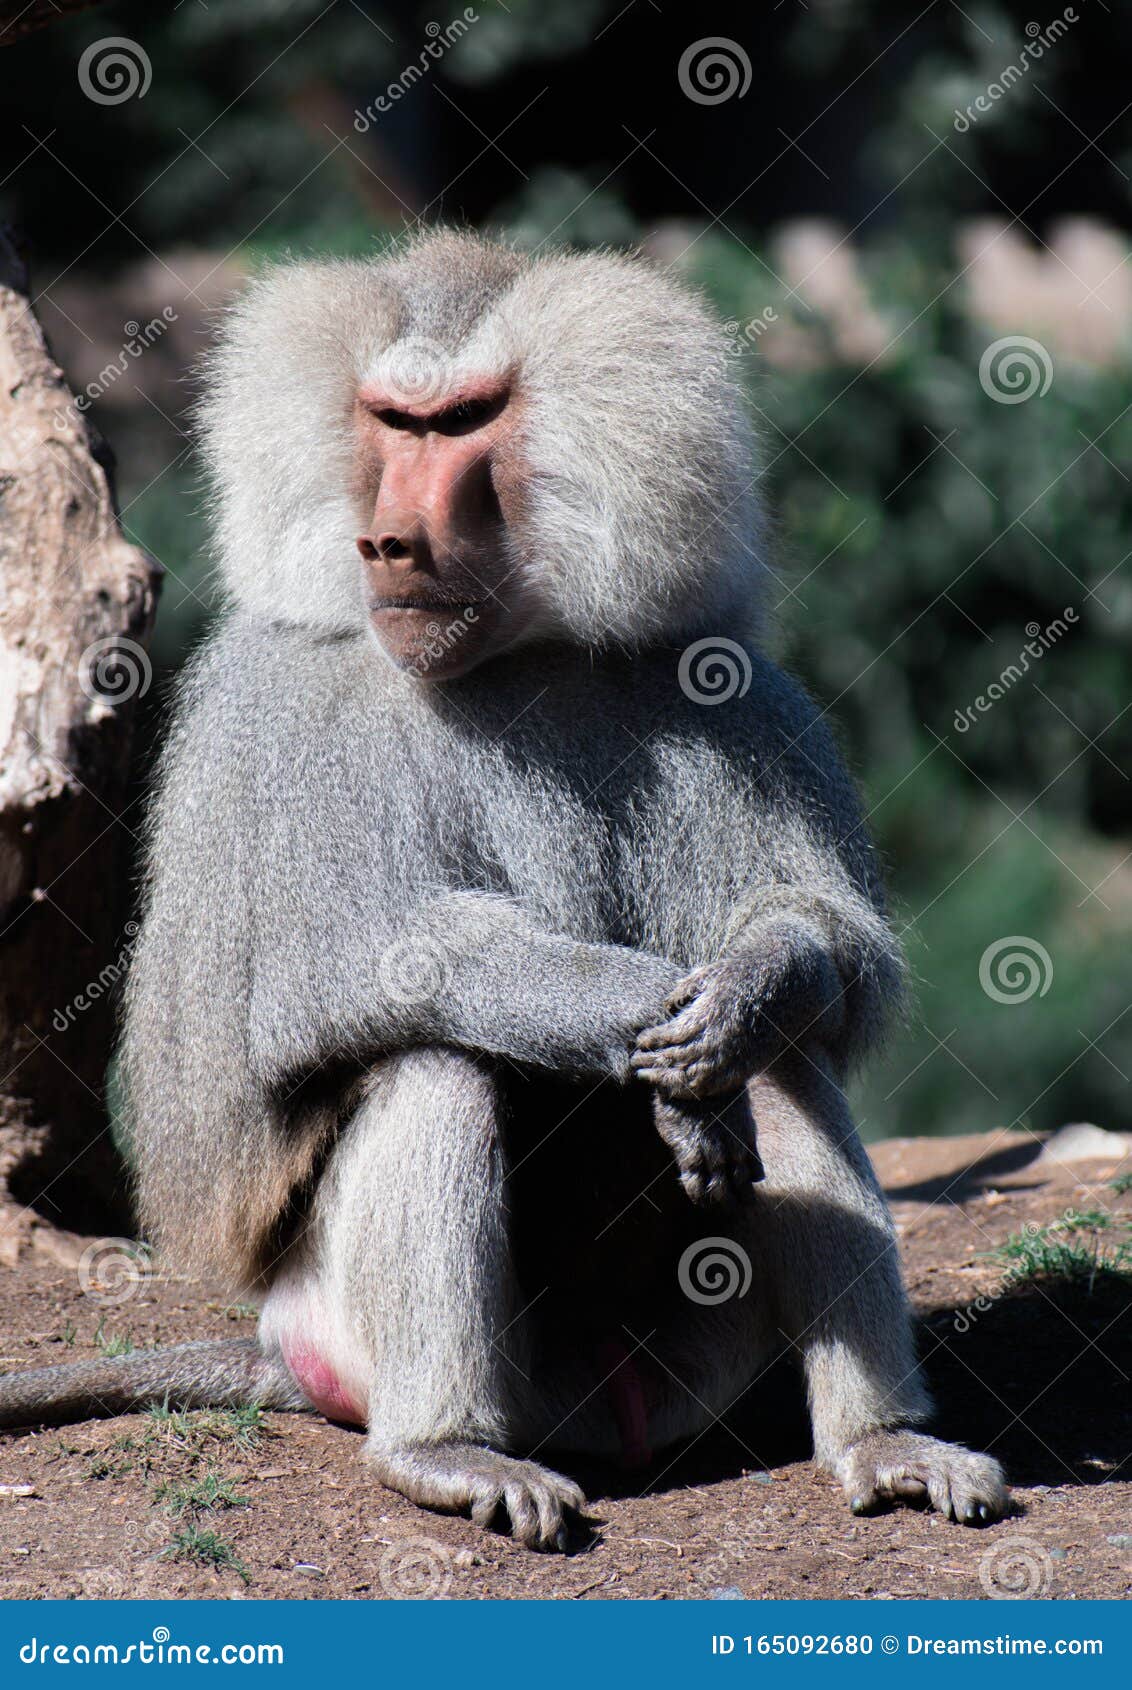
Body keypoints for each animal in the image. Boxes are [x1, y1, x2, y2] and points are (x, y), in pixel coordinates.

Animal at [0, 231, 1007, 1551]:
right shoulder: (289, 713)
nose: (389, 545)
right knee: (434, 1064)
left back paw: (882, 1441)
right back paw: (445, 1454)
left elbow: (827, 955)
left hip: (687, 1365)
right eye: (393, 421)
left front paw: (738, 994)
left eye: (465, 421)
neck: (506, 659)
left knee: (785, 1065)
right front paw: (633, 1007)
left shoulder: (737, 694)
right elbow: (353, 965)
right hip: (350, 1332)